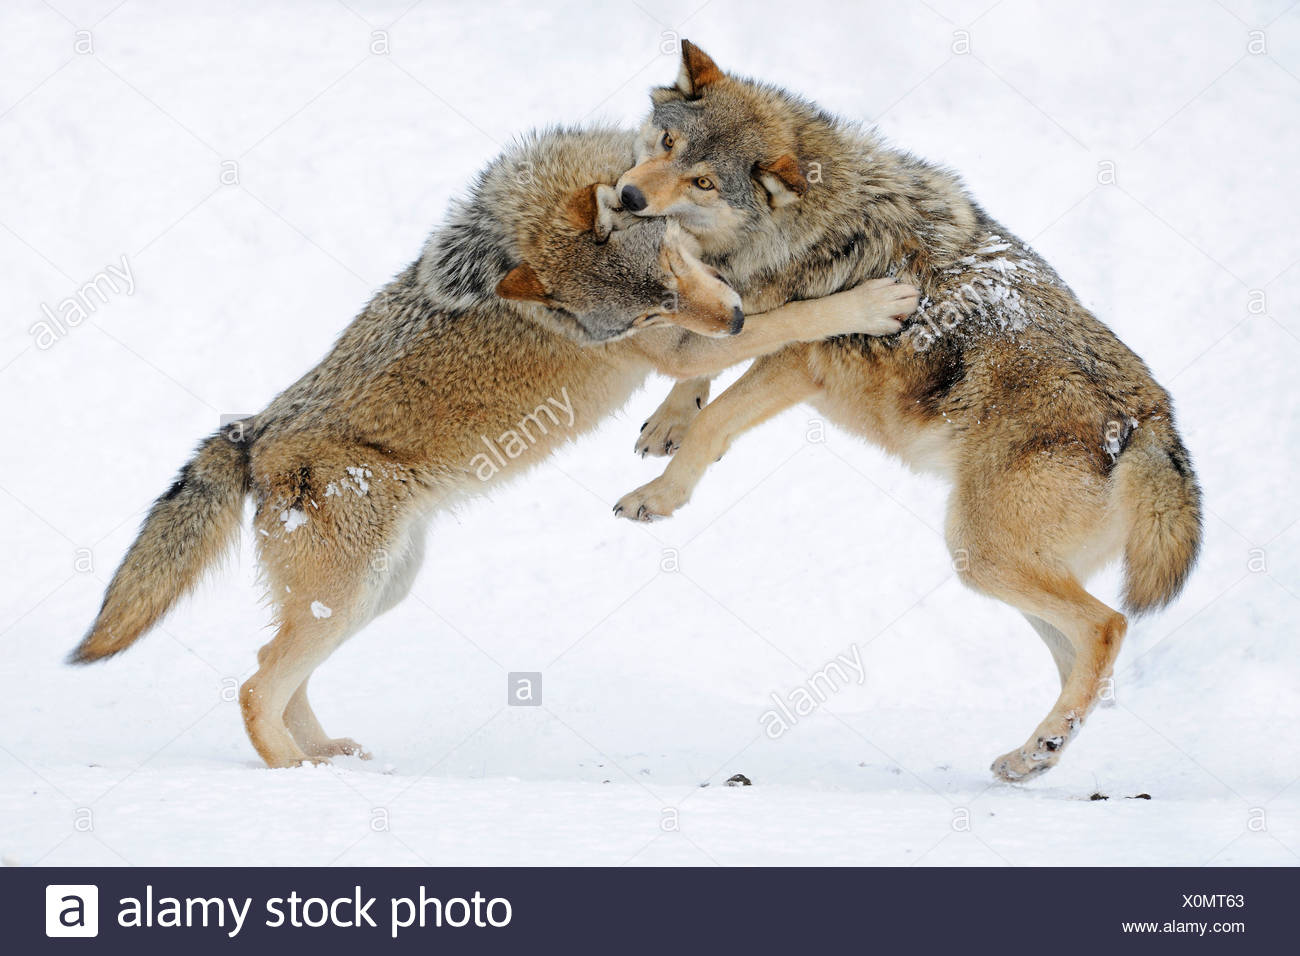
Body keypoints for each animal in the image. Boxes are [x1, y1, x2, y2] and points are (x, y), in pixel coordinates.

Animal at [70, 125, 917, 768]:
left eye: (673, 264)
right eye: (644, 314)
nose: (731, 319)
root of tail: (256, 435)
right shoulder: (676, 346)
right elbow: (790, 319)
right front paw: (874, 300)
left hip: (377, 592)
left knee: (269, 671)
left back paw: (326, 755)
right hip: (351, 594)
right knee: (253, 687)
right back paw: (296, 774)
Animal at [612, 43, 1203, 782]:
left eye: (703, 182)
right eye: (666, 143)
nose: (627, 196)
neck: (798, 226)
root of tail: (1150, 421)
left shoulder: (797, 363)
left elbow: (718, 412)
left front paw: (659, 495)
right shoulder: (741, 312)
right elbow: (702, 366)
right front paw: (668, 423)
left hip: (980, 555)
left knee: (1108, 625)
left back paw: (1040, 746)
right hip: (1000, 564)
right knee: (1082, 654)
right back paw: (1034, 755)